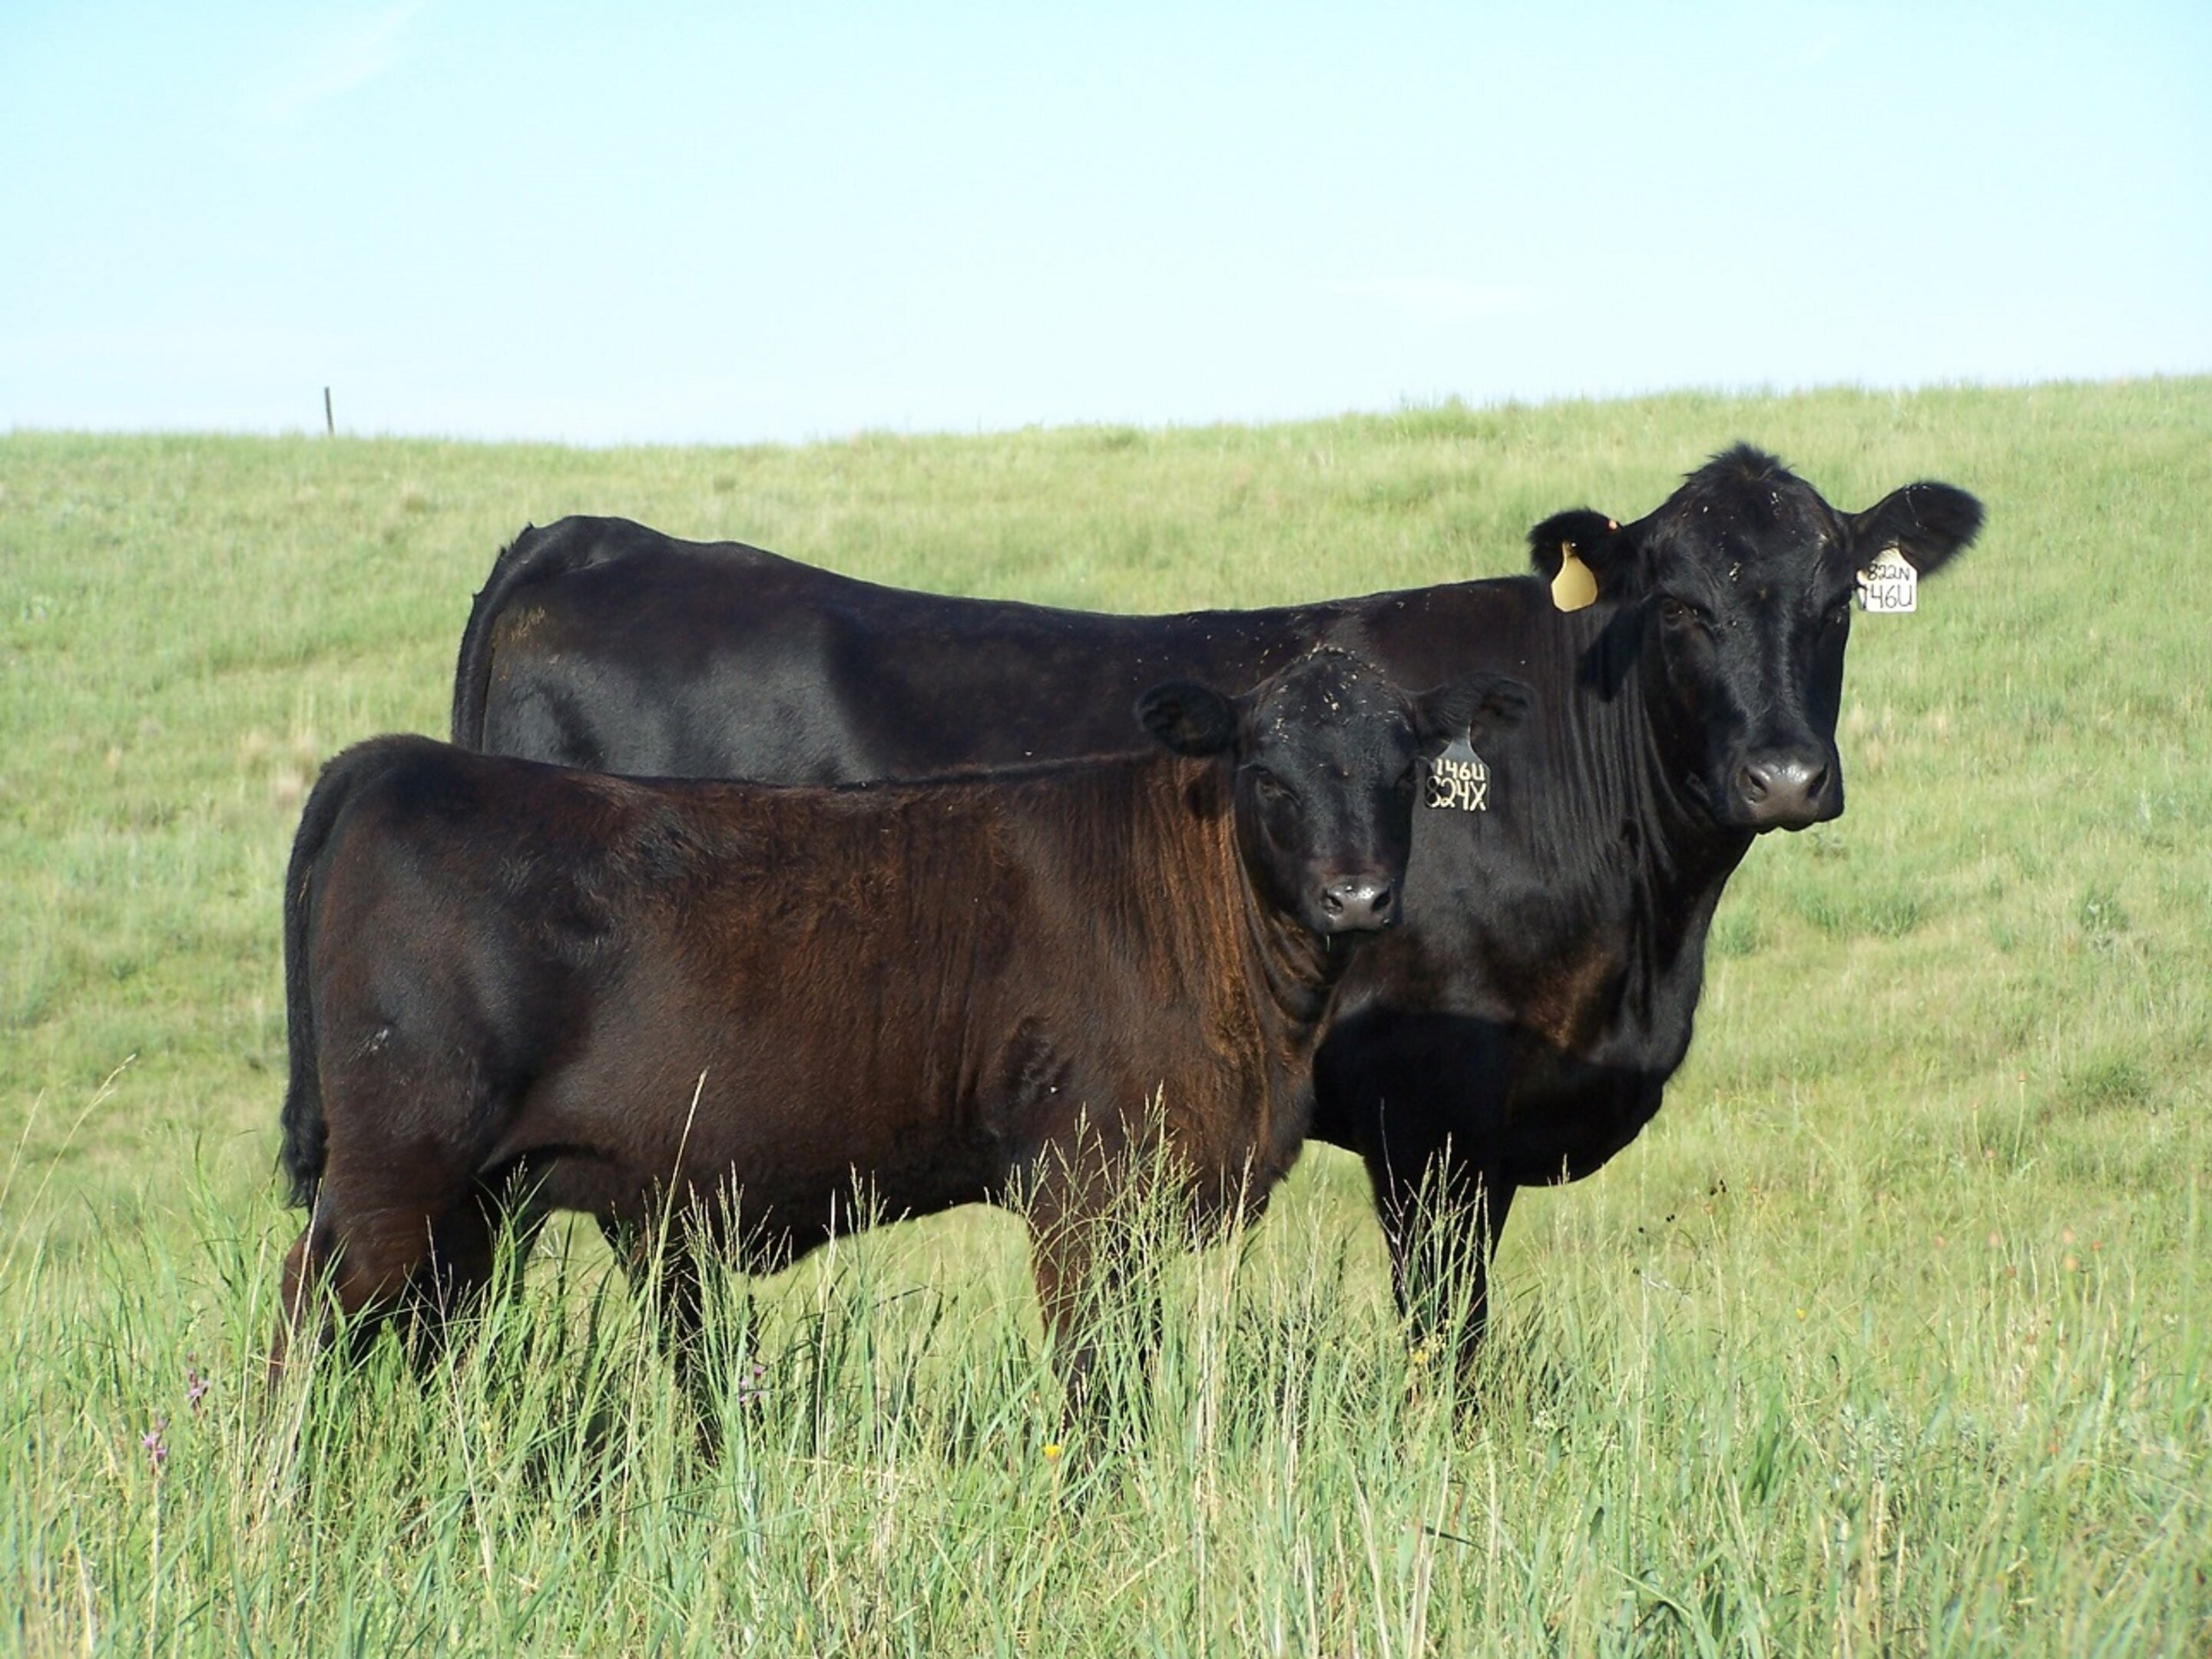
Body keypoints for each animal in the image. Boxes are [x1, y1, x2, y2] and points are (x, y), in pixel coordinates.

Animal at [274, 651, 1531, 1423]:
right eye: (1267, 772)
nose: (1357, 896)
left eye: (1406, 771)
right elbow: (1097, 1386)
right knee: (304, 1321)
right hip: (397, 1170)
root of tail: (404, 760)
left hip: (473, 1202)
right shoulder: (1082, 1188)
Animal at [450, 446, 1984, 1380]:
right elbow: (1447, 1338)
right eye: (1681, 609)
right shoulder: (1434, 1120)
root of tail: (577, 544)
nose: (1785, 773)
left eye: (1838, 598)